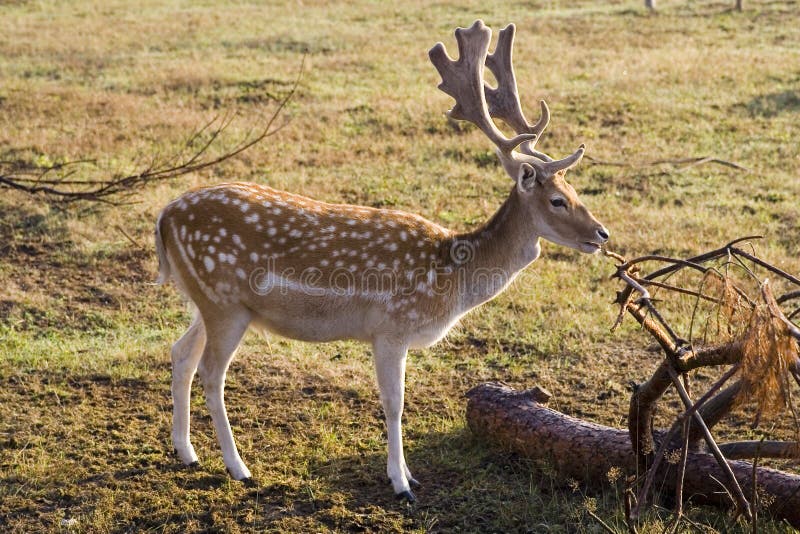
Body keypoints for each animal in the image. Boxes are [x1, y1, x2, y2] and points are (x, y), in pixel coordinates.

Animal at [154, 20, 609, 502]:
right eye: (558, 200)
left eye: (575, 190)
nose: (602, 234)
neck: (452, 278)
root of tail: (164, 217)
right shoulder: (392, 327)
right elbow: (395, 404)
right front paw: (401, 483)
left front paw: (408, 475)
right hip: (224, 301)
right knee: (210, 371)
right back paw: (238, 467)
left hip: (207, 300)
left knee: (181, 352)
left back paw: (187, 452)